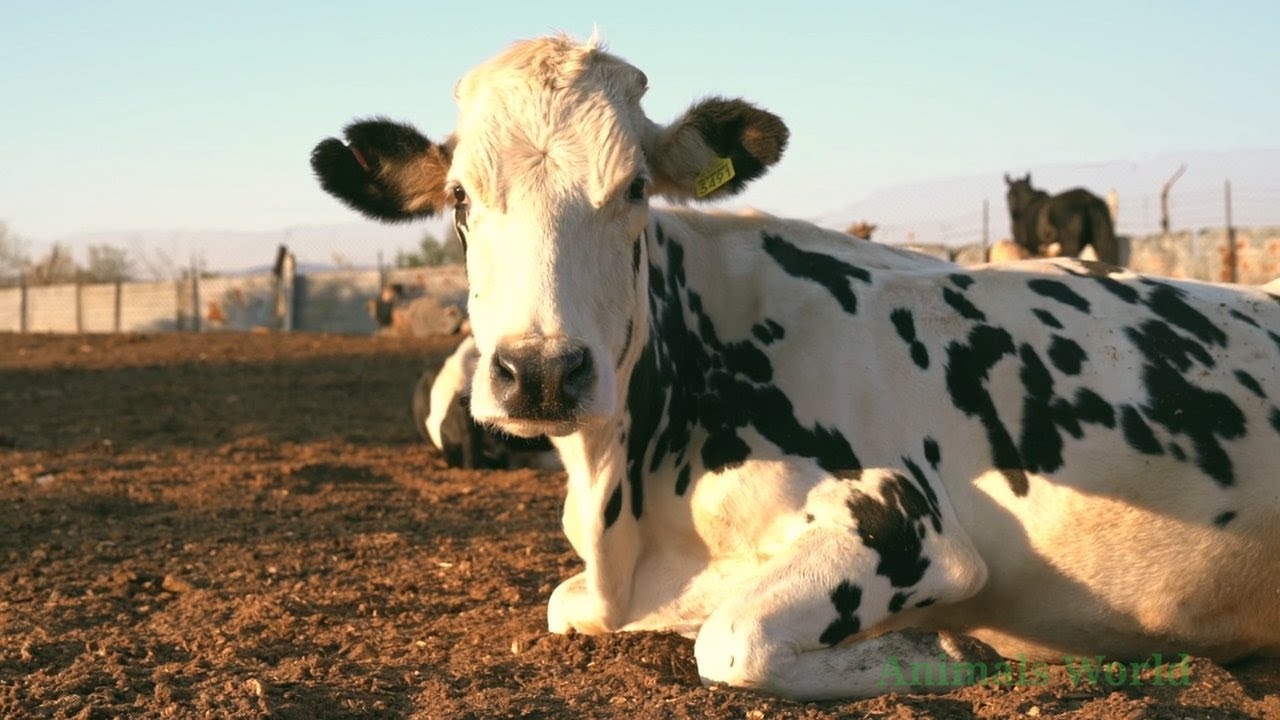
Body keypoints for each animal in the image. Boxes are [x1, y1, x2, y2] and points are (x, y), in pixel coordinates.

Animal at [311, 34, 1280, 700]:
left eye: (634, 189)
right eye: (460, 198)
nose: (542, 371)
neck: (623, 504)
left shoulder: (904, 521)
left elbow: (729, 641)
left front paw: (945, 648)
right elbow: (564, 603)